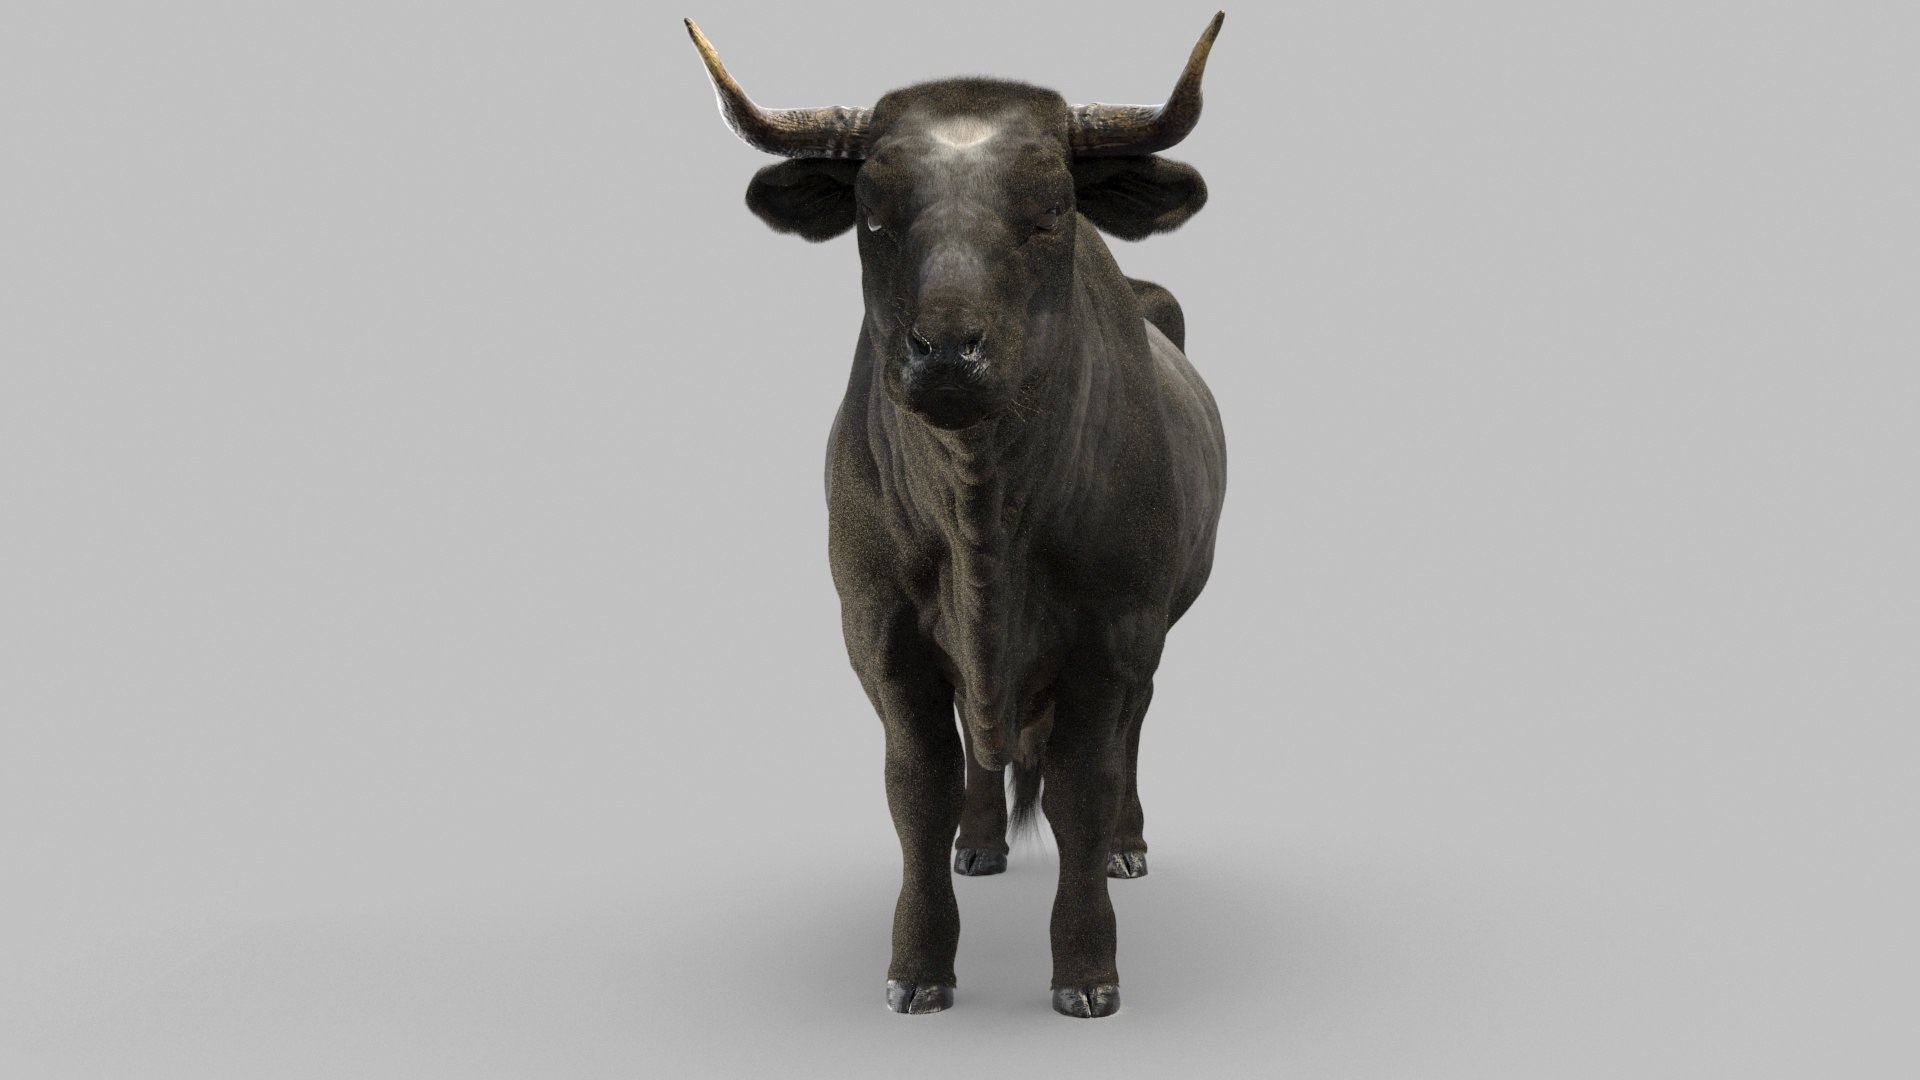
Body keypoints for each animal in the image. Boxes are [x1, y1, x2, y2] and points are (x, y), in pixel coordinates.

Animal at [686, 13, 1228, 1018]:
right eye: (871, 212)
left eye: (1052, 209)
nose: (945, 350)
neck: (985, 517)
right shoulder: (880, 637)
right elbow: (919, 789)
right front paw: (917, 967)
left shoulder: (1114, 636)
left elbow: (1084, 790)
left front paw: (1087, 971)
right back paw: (979, 845)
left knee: (1131, 737)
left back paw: (1129, 845)